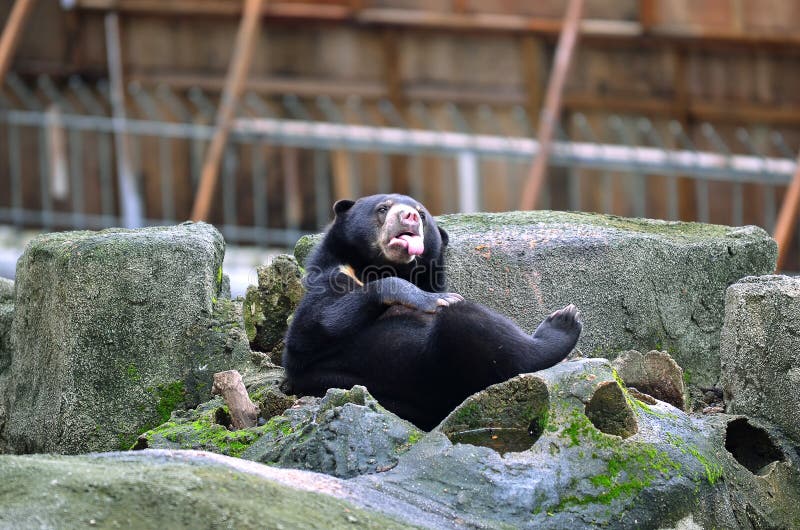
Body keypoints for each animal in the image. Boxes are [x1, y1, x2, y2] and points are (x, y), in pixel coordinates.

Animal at [283, 194, 582, 430]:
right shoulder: (333, 276)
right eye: (383, 208)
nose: (410, 216)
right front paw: (437, 300)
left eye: (422, 213)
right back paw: (564, 321)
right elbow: (316, 325)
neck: (381, 267)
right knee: (473, 325)